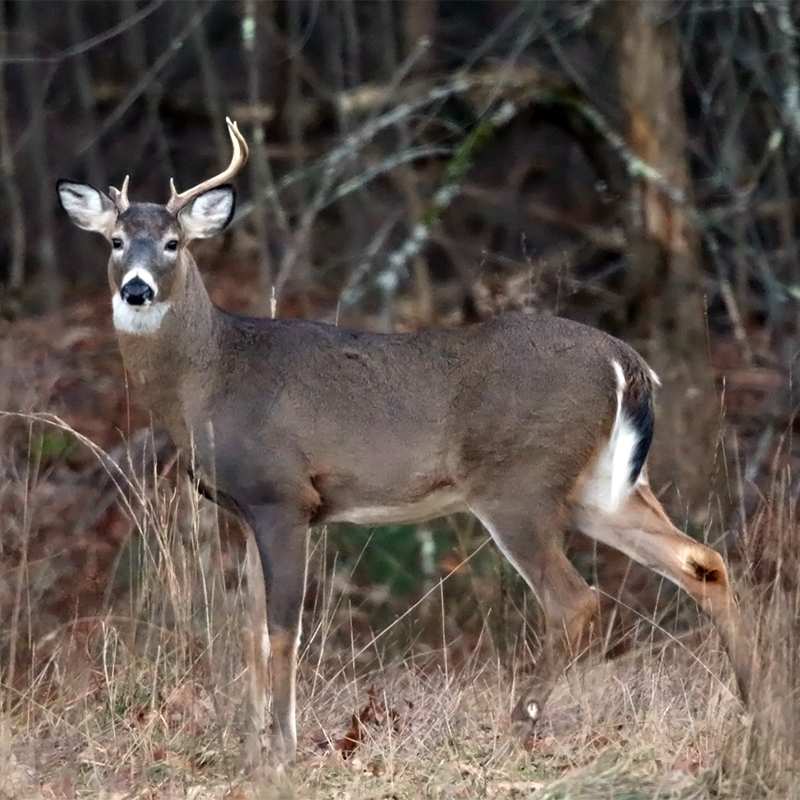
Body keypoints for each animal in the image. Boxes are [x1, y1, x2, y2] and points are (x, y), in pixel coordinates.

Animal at [57, 118, 753, 768]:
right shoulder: (249, 509)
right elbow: (251, 630)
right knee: (702, 560)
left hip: (519, 484)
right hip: (601, 488)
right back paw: (752, 702)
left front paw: (283, 749)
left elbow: (283, 631)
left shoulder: (285, 496)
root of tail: (625, 361)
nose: (137, 288)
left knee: (575, 600)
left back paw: (518, 726)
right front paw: (253, 749)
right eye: (115, 242)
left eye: (173, 243)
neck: (212, 376)